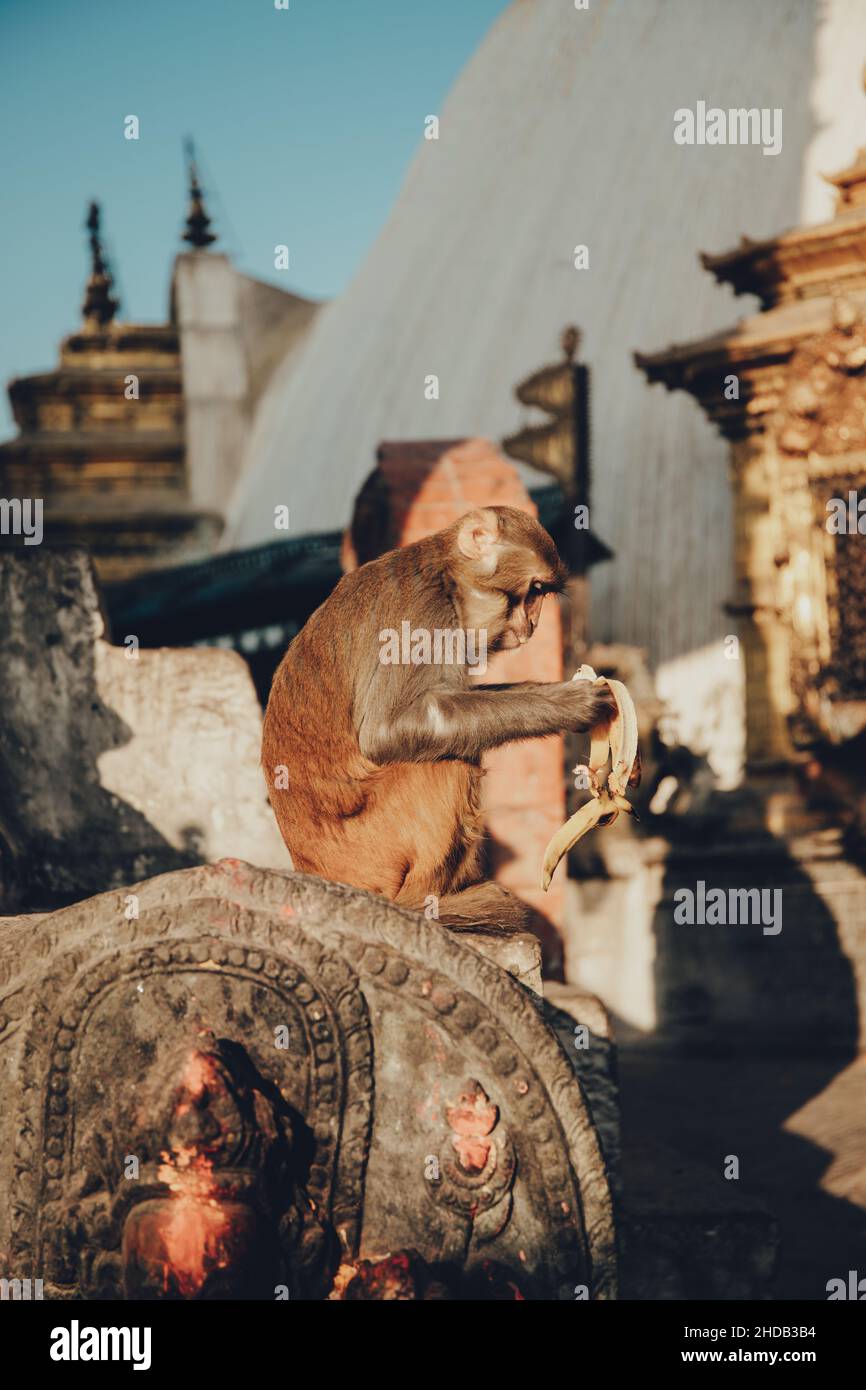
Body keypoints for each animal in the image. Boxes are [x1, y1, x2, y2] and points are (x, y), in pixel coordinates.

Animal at [262, 506, 617, 931]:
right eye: (533, 591)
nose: (532, 626)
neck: (448, 578)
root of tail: (312, 870)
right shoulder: (420, 615)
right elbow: (386, 731)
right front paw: (571, 703)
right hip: (370, 854)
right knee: (448, 763)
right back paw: (424, 906)